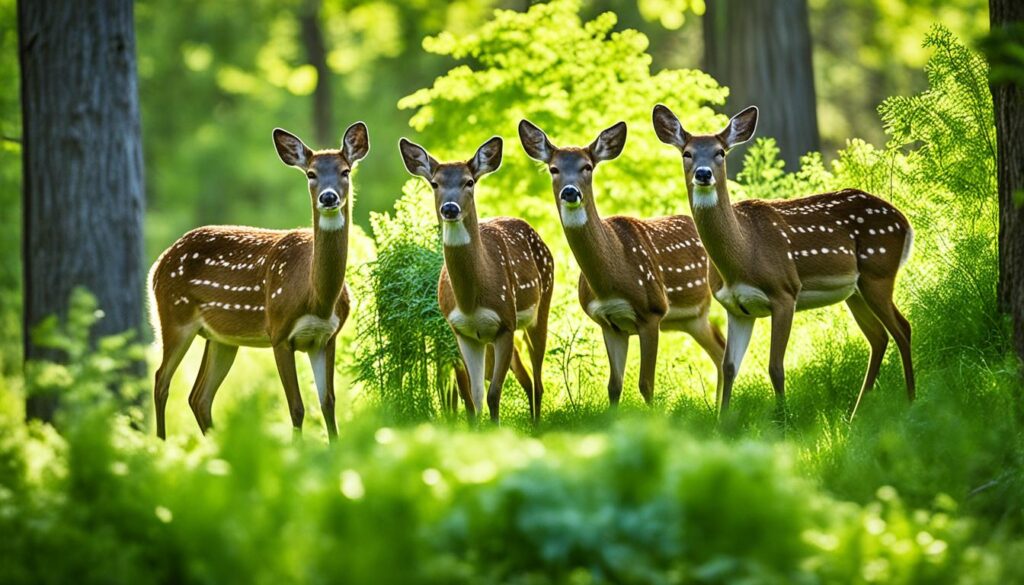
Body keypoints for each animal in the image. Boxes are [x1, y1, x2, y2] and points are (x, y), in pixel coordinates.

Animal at [148, 122, 369, 441]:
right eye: (311, 173)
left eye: (345, 171)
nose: (328, 197)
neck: (317, 298)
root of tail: (158, 264)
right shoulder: (279, 332)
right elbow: (297, 408)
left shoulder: (326, 338)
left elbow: (328, 403)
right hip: (174, 316)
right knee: (161, 381)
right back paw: (160, 446)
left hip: (221, 339)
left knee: (199, 397)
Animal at [399, 136, 554, 423]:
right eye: (435, 183)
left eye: (469, 181)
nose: (450, 208)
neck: (471, 300)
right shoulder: (462, 332)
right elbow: (473, 397)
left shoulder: (506, 323)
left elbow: (493, 394)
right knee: (527, 379)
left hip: (542, 305)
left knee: (538, 380)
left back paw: (537, 424)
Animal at [518, 120, 725, 408]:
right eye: (553, 168)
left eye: (587, 166)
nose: (570, 192)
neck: (610, 281)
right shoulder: (610, 324)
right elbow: (614, 386)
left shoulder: (653, 311)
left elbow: (646, 384)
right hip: (693, 319)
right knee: (719, 351)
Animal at [652, 104, 915, 418]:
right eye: (687, 153)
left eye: (721, 152)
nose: (703, 174)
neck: (741, 257)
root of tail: (905, 222)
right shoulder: (736, 308)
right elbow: (729, 367)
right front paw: (722, 423)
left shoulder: (784, 292)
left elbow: (775, 368)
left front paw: (783, 422)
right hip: (855, 290)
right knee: (879, 337)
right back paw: (855, 415)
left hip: (879, 272)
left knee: (903, 329)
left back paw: (912, 403)